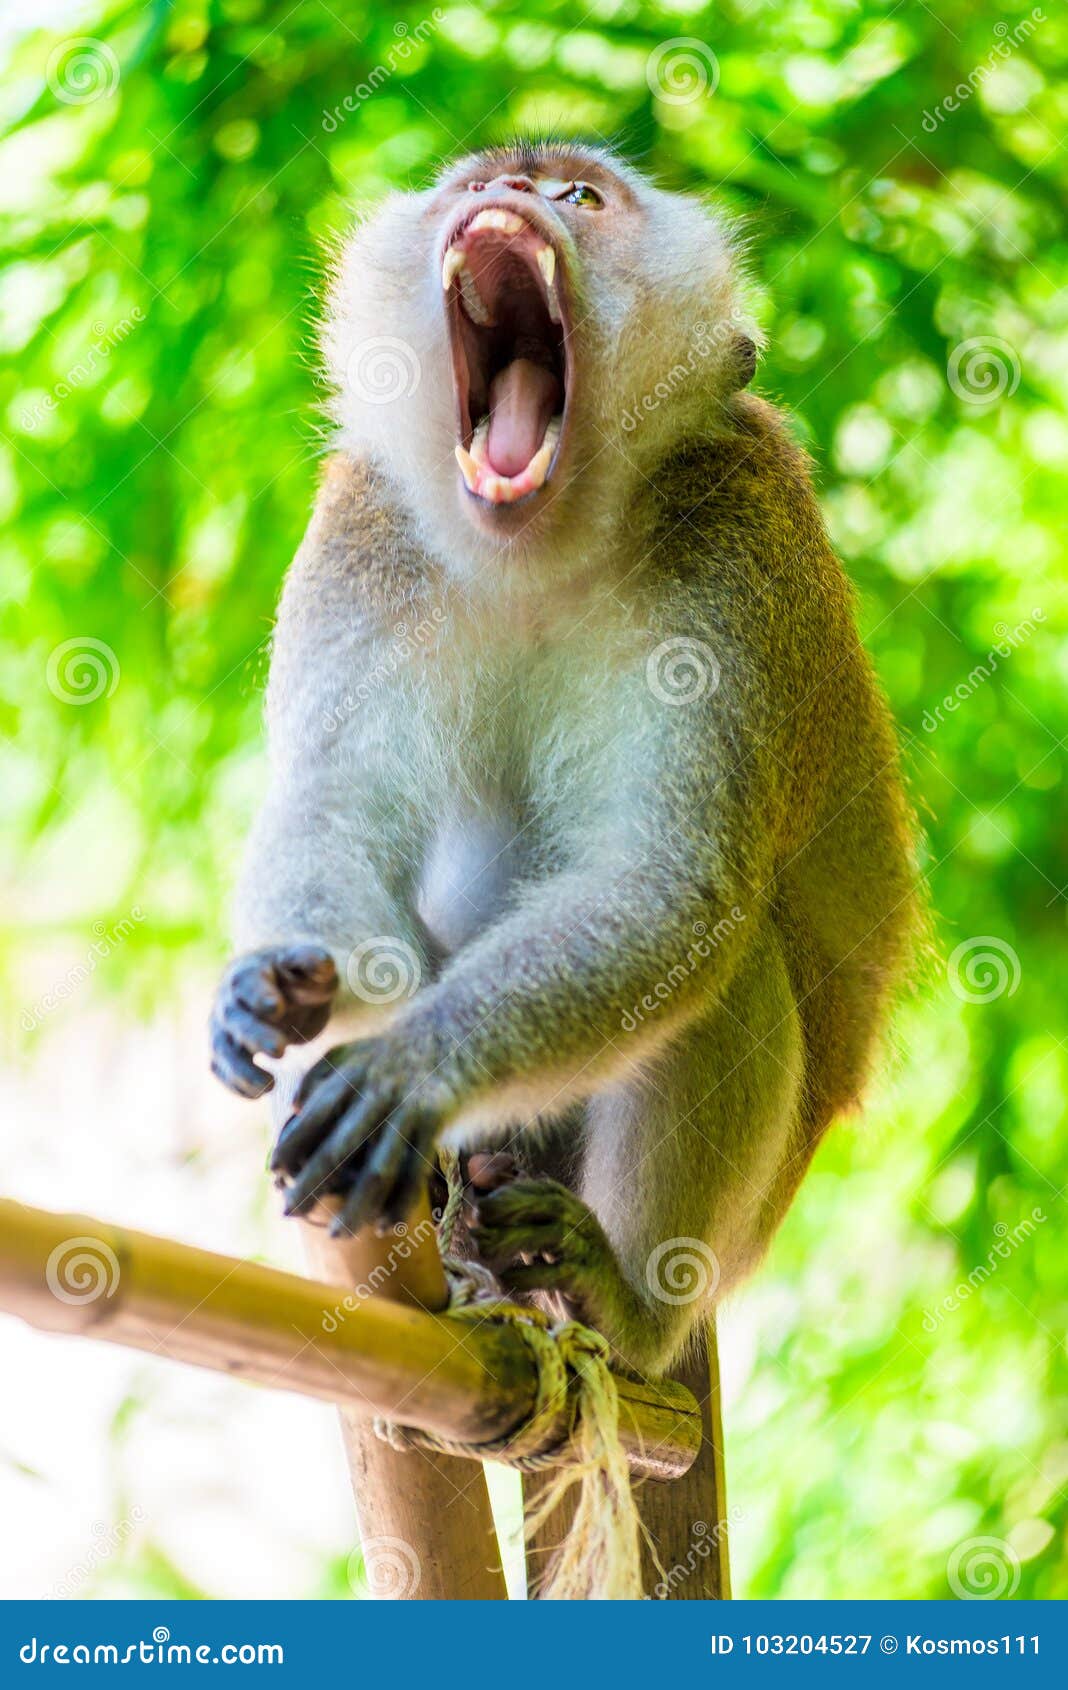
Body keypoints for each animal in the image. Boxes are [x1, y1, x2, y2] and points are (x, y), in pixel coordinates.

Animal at [209, 141, 918, 1379]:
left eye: (581, 198)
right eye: (477, 182)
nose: (515, 198)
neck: (534, 545)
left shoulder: (740, 541)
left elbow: (669, 889)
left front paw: (419, 1067)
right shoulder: (361, 529)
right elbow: (328, 814)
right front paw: (269, 994)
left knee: (729, 976)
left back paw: (624, 1299)